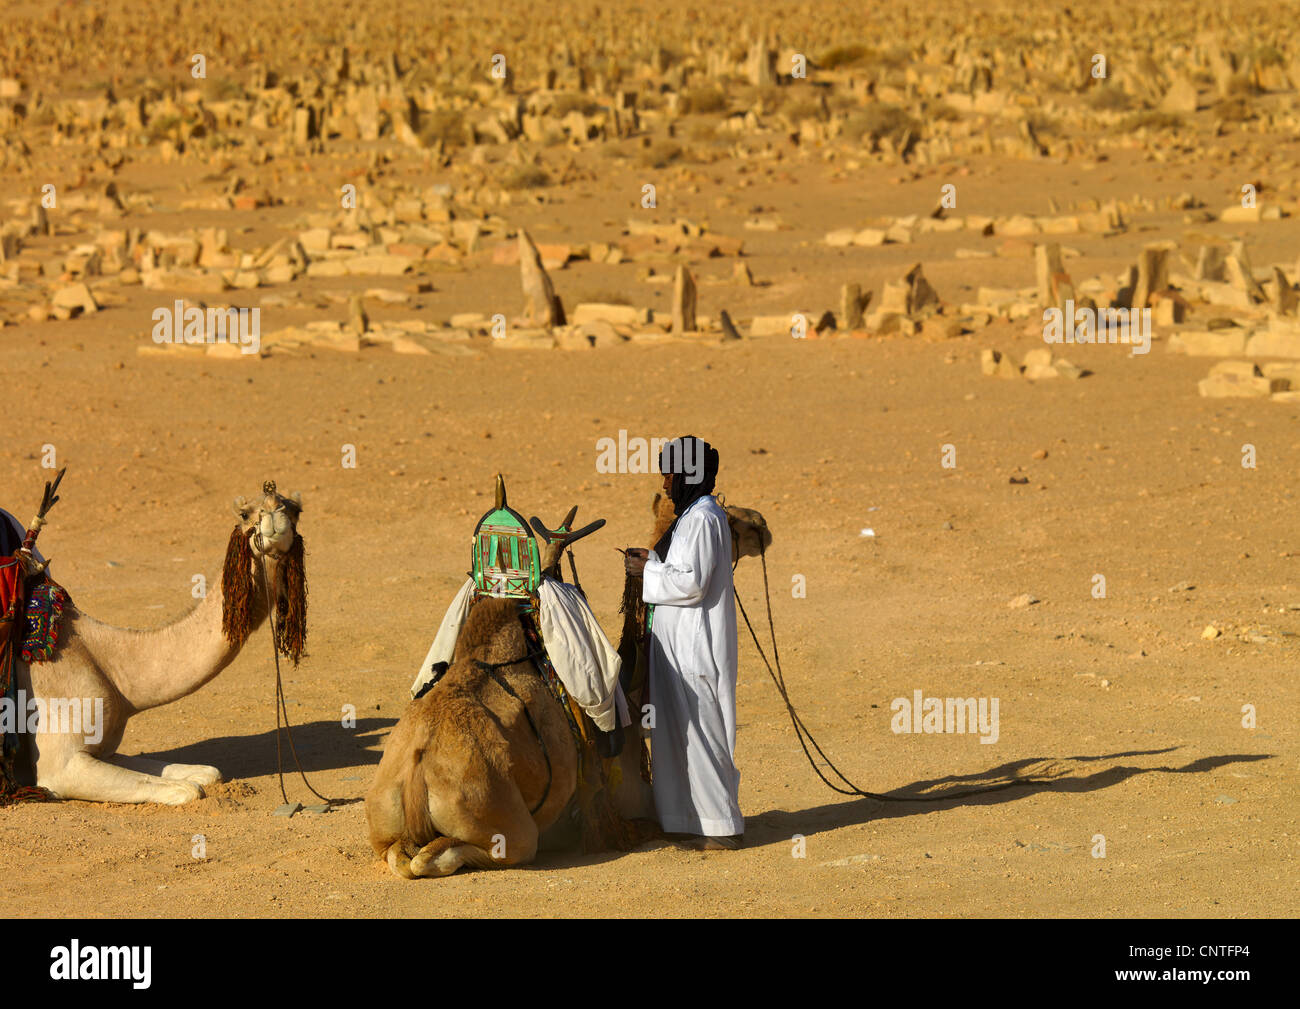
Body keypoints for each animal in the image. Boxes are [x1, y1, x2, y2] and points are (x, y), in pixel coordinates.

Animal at [12, 482, 306, 805]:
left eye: (296, 509)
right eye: (244, 513)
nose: (274, 513)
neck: (107, 661)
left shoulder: (105, 749)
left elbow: (208, 773)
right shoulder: (60, 766)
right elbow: (188, 790)